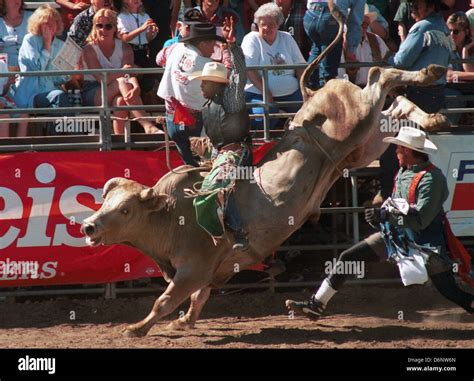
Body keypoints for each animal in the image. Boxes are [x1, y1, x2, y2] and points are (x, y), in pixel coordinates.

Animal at [80, 2, 448, 336]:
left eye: (125, 210)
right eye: (105, 202)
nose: (88, 226)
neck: (170, 215)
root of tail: (312, 94)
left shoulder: (192, 269)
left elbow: (165, 301)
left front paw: (137, 328)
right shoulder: (212, 272)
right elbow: (199, 298)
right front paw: (185, 321)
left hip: (357, 117)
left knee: (379, 77)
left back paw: (429, 74)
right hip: (364, 143)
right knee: (395, 106)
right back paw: (433, 116)